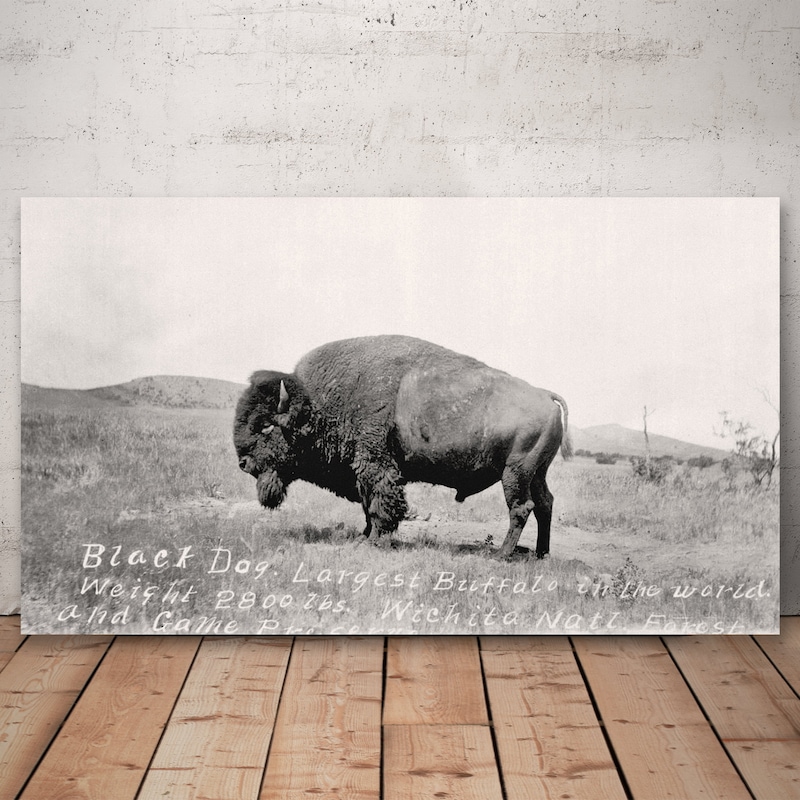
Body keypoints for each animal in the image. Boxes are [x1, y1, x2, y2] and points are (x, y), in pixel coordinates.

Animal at [233, 336, 571, 558]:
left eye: (266, 425)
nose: (243, 464)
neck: (316, 403)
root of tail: (545, 395)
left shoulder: (375, 466)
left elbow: (380, 504)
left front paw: (375, 542)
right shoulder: (363, 472)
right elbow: (368, 505)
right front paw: (364, 538)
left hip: (515, 473)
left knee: (521, 507)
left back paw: (501, 554)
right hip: (536, 473)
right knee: (545, 503)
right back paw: (540, 554)